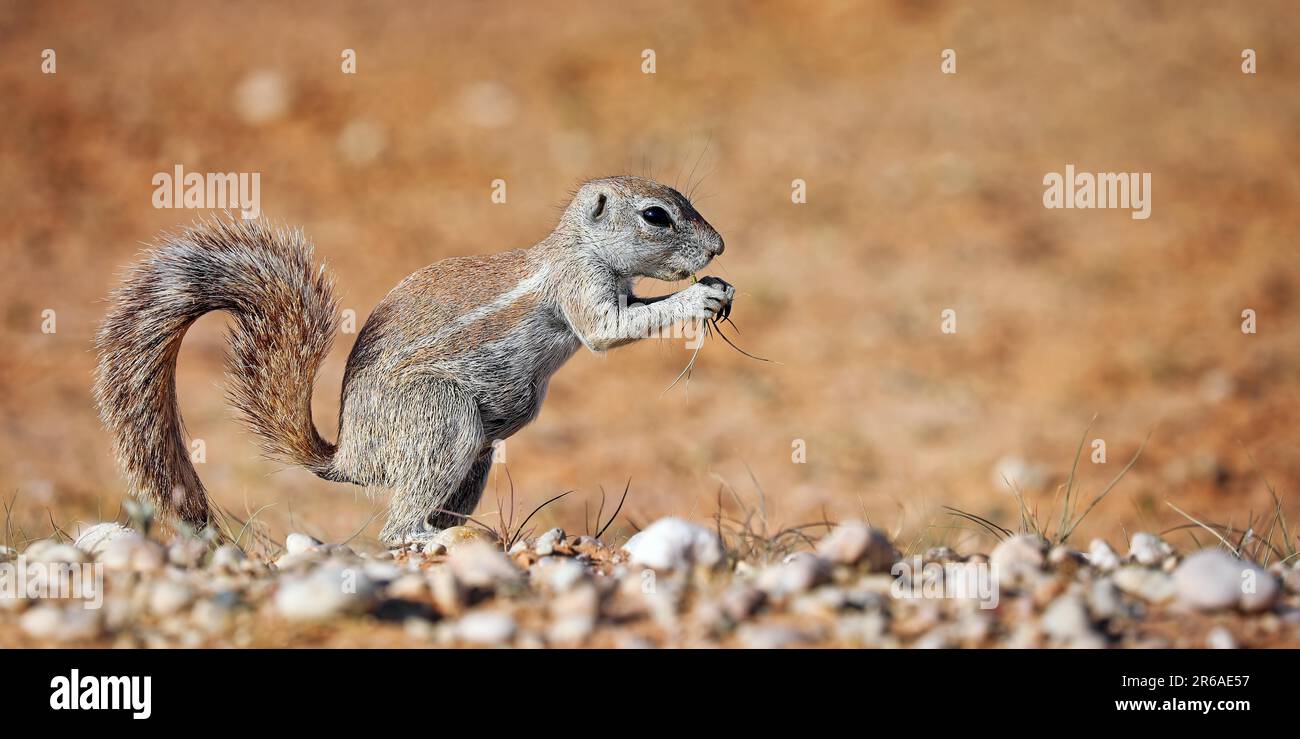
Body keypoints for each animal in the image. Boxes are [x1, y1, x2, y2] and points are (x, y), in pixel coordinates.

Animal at [94, 176, 734, 544]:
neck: (578, 246)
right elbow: (607, 330)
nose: (718, 247)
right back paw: (427, 538)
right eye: (656, 216)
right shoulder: (581, 286)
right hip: (442, 421)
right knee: (395, 530)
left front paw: (718, 288)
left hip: (474, 458)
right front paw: (699, 298)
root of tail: (349, 457)